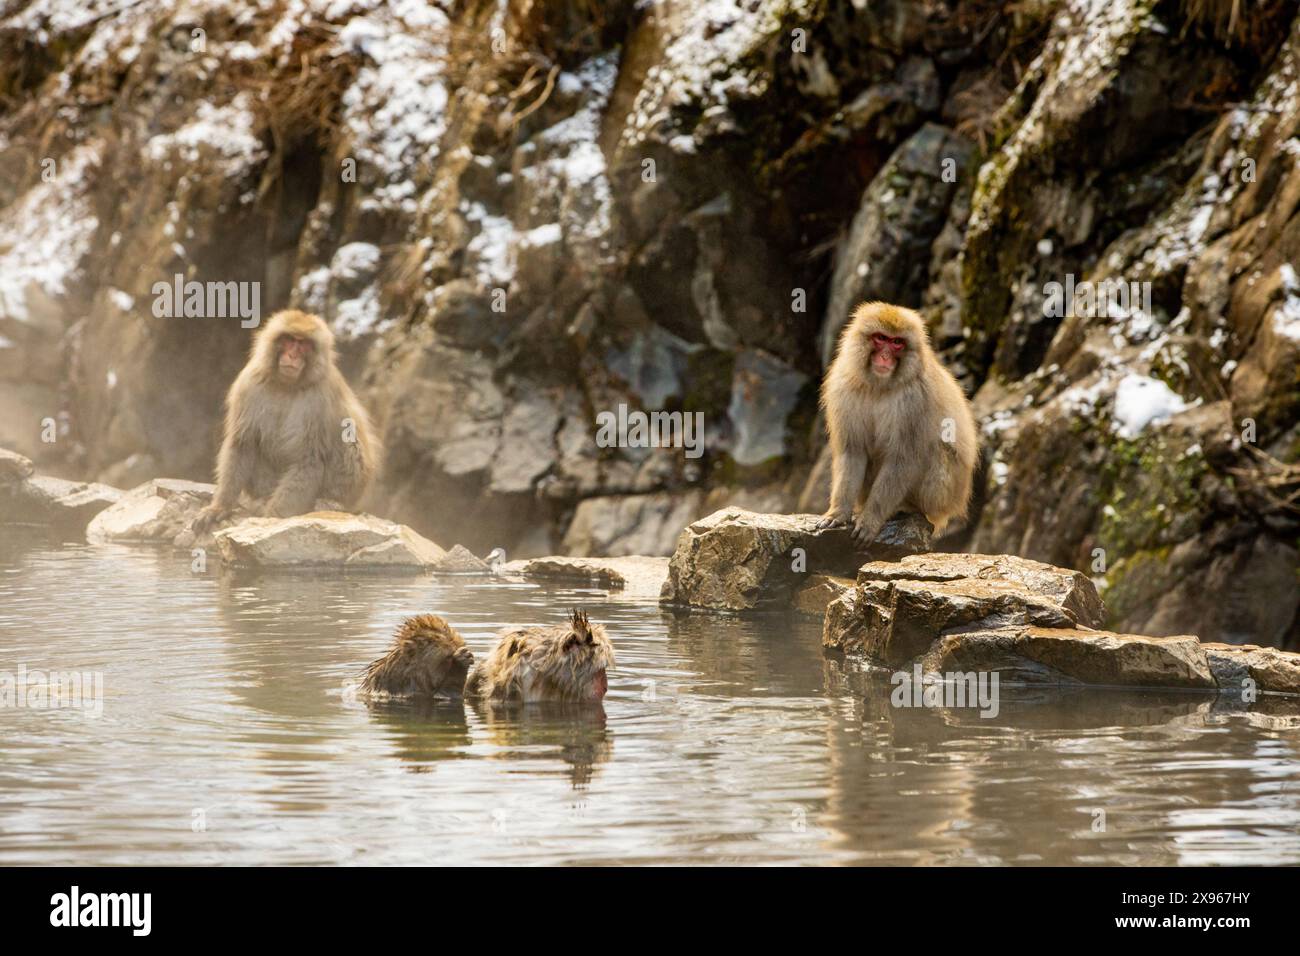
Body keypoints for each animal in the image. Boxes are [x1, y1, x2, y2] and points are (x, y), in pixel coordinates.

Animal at [193, 310, 381, 531]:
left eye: (303, 344)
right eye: (289, 340)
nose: (292, 356)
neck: (287, 385)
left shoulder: (321, 399)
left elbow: (309, 459)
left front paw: (271, 518)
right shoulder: (248, 384)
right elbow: (243, 443)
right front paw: (220, 507)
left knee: (347, 437)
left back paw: (330, 502)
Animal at [817, 301, 978, 547]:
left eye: (897, 343)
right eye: (881, 338)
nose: (885, 356)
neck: (879, 386)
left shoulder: (918, 399)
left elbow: (903, 459)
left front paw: (871, 520)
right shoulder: (843, 387)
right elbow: (852, 451)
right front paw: (838, 512)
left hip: (942, 498)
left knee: (936, 449)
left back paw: (906, 508)